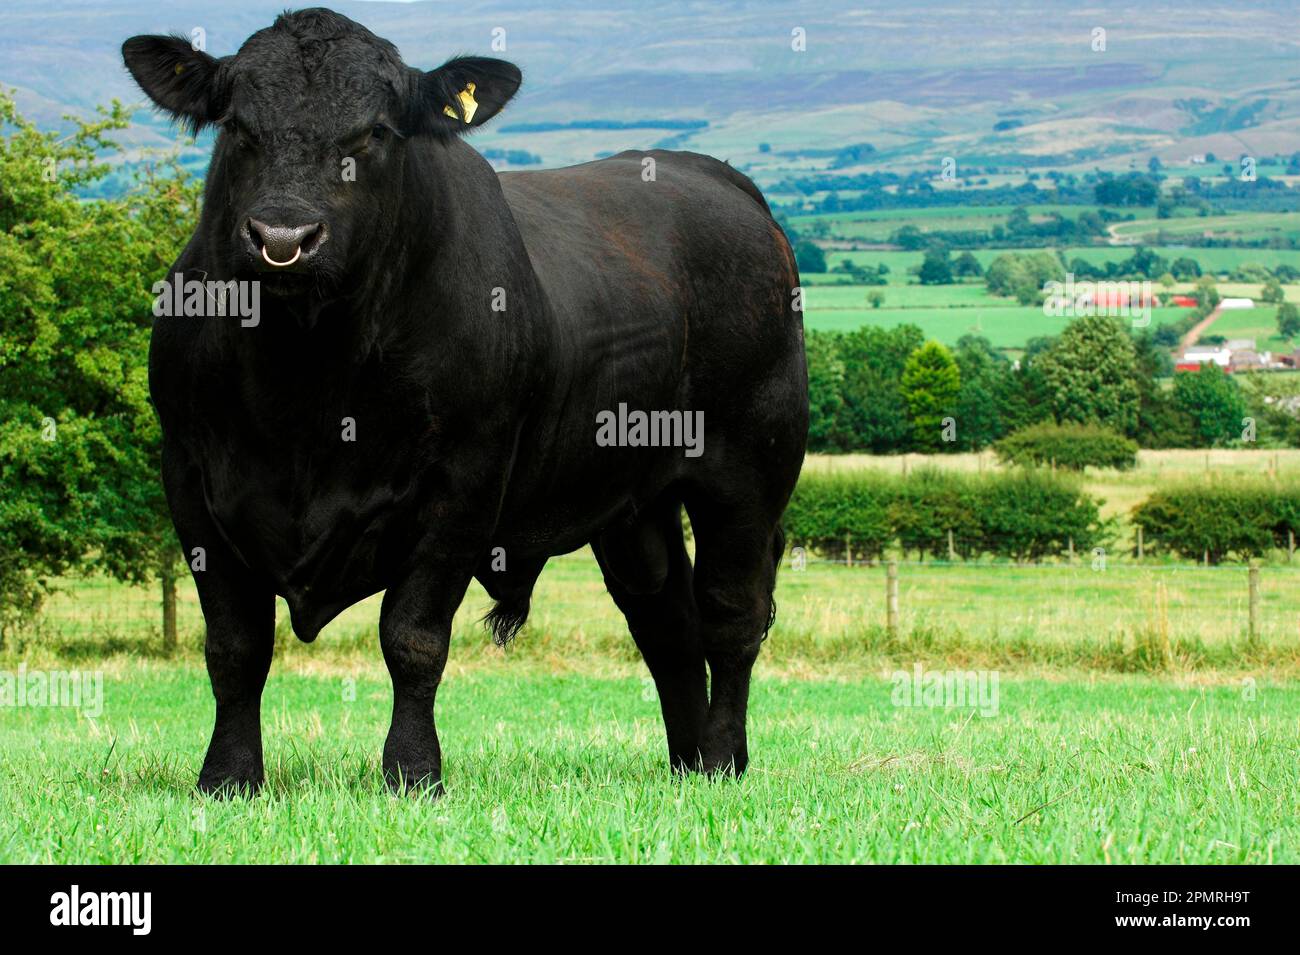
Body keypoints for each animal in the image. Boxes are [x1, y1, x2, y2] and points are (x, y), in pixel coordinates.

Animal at [122, 7, 807, 795]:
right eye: (236, 125)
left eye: (375, 132)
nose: (284, 237)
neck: (307, 378)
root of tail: (719, 179)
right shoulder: (190, 478)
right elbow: (234, 646)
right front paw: (228, 775)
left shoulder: (464, 481)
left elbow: (412, 635)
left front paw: (412, 770)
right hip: (634, 502)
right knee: (666, 618)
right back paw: (690, 764)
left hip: (748, 469)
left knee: (731, 614)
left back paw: (722, 757)